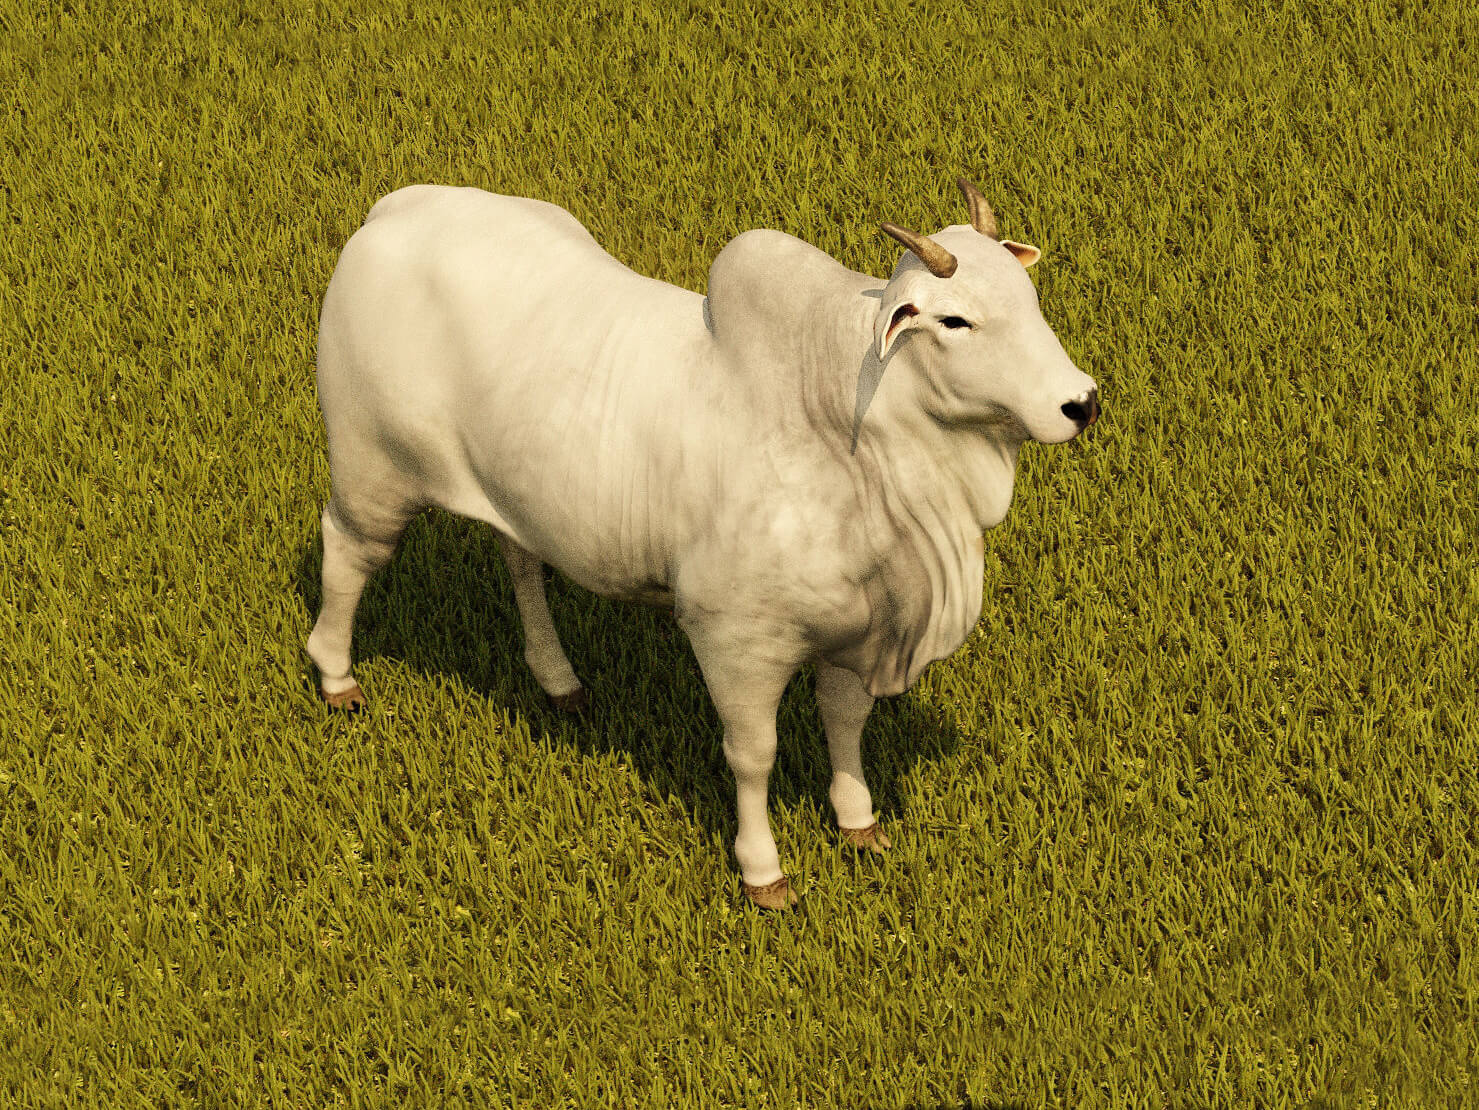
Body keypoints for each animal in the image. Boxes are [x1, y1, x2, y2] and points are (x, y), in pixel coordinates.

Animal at [306, 178, 1099, 909]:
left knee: (520, 560)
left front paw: (858, 821)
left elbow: (845, 723)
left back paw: (559, 680)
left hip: (512, 497)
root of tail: (392, 211)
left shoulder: (856, 630)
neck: (855, 442)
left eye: (1028, 296)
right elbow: (753, 756)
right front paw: (762, 871)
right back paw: (336, 676)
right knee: (346, 552)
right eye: (955, 320)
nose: (1080, 403)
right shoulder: (737, 641)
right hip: (375, 473)